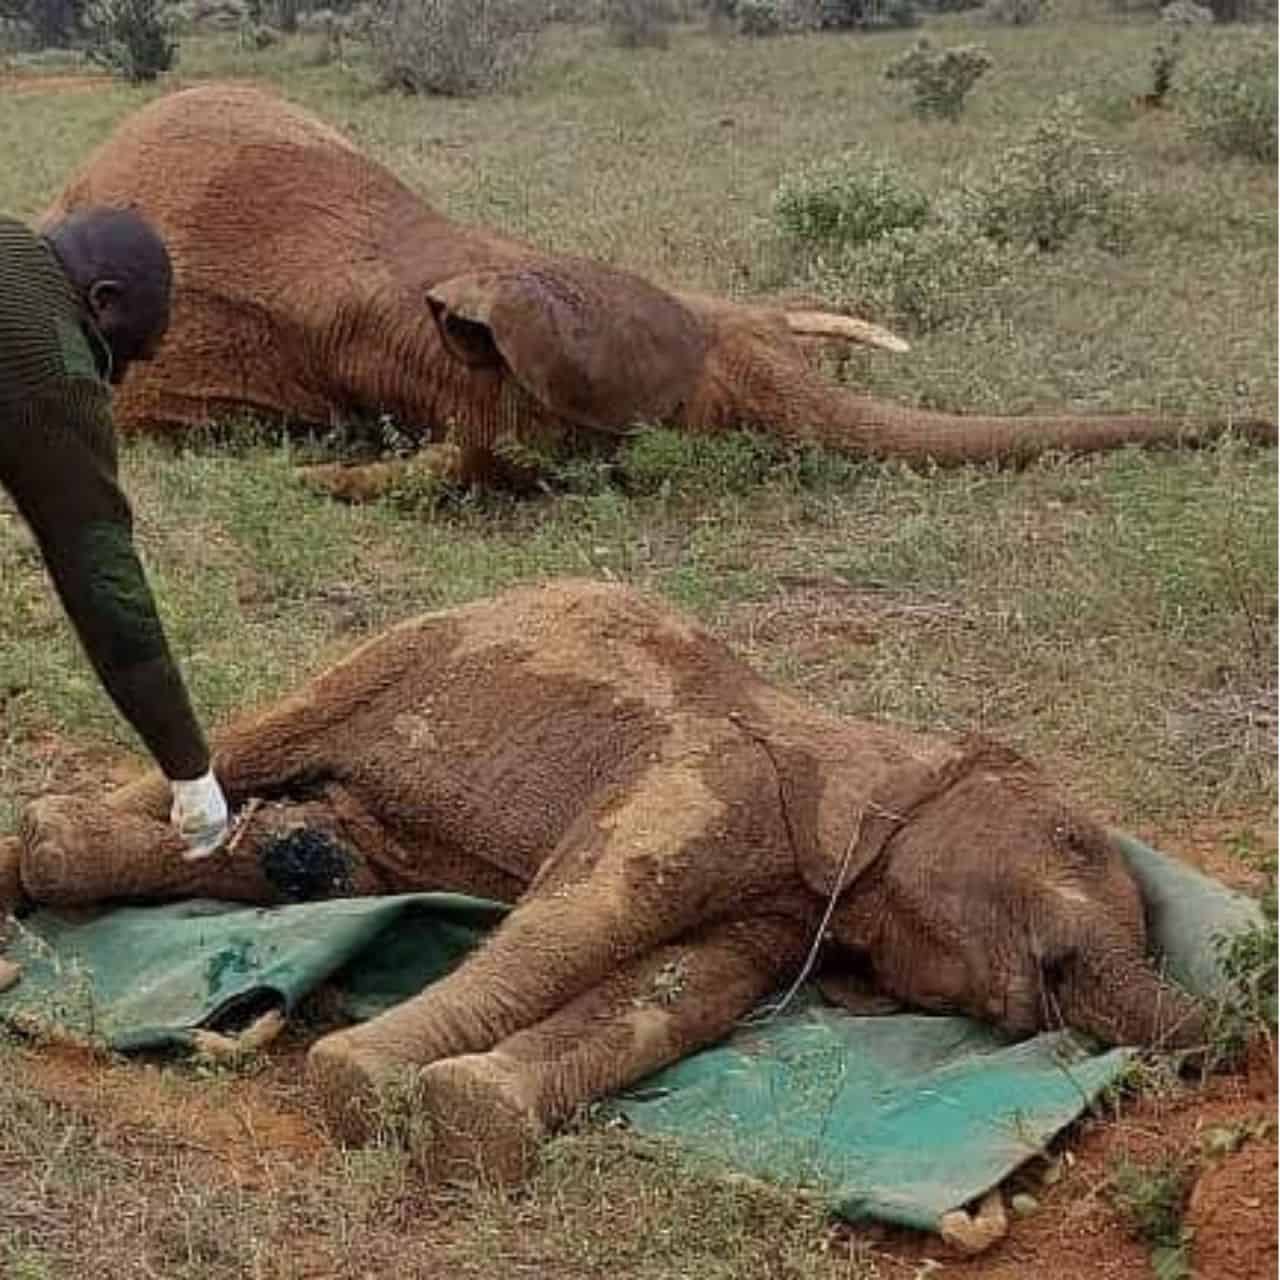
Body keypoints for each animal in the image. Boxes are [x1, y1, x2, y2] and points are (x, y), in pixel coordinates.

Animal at [1, 579, 1207, 1184]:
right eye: (1070, 840)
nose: (1219, 1038)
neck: (863, 748)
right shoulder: (707, 776)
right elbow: (584, 916)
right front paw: (360, 1087)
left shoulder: (778, 908)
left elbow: (677, 991)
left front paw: (471, 1114)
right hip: (397, 653)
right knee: (255, 743)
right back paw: (37, 853)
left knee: (313, 849)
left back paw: (305, 859)